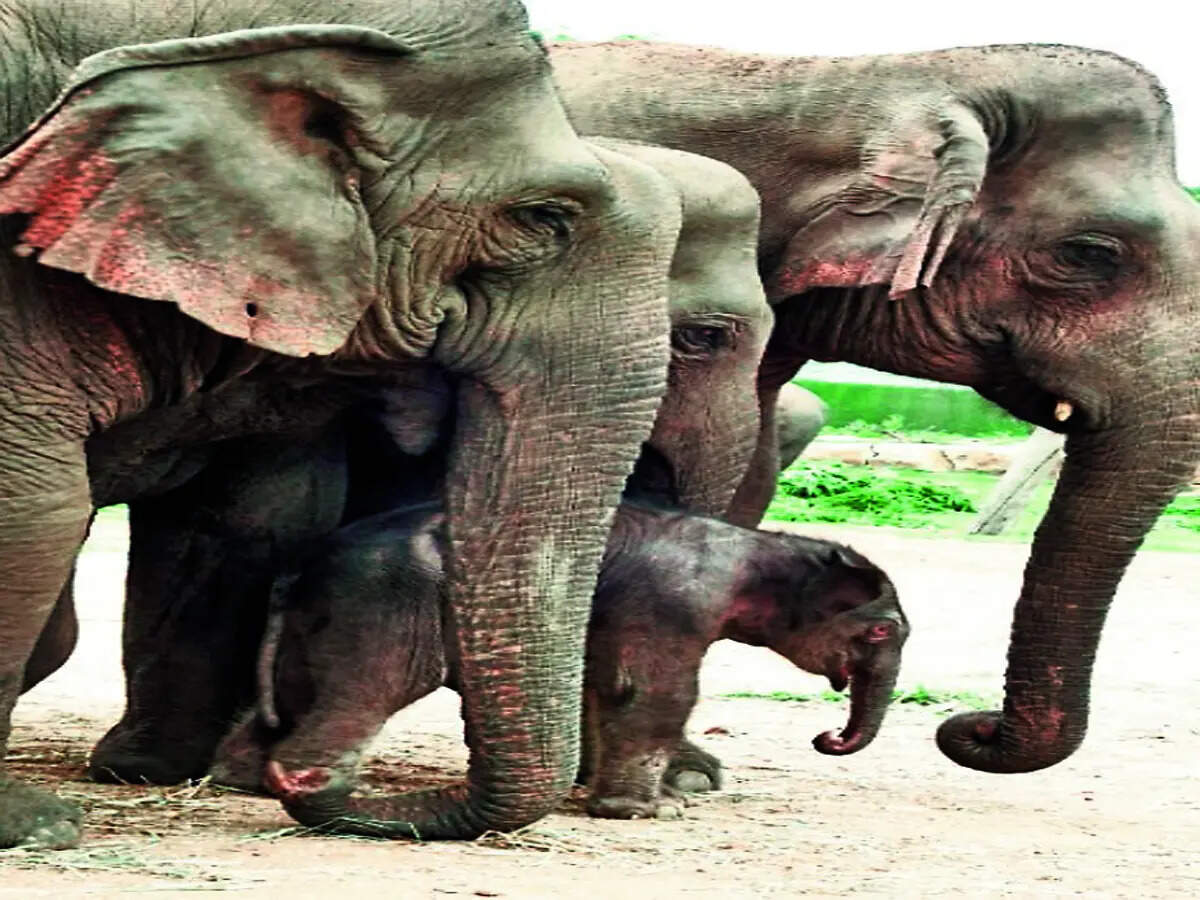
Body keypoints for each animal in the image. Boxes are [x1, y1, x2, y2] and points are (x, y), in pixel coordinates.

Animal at [0, 0, 690, 850]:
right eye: (544, 217)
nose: (293, 779)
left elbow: (247, 520)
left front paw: (144, 771)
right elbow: (34, 506)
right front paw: (37, 825)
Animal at [207, 500, 907, 830]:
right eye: (882, 628)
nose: (826, 737)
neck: (765, 548)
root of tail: (299, 566)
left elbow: (602, 685)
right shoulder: (672, 603)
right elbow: (652, 691)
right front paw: (653, 814)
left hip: (321, 616)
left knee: (292, 694)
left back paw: (239, 780)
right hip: (384, 609)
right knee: (364, 693)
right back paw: (312, 786)